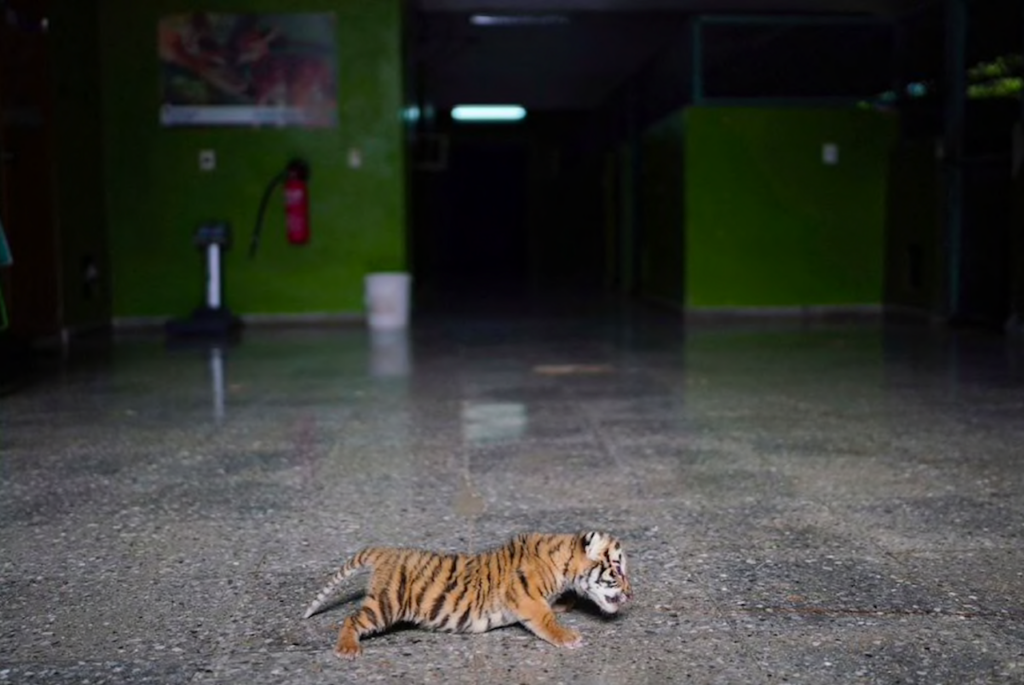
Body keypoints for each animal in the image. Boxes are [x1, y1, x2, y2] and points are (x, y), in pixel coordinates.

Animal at [302, 531, 632, 658]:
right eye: (617, 570)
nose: (631, 595)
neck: (562, 564)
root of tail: (387, 552)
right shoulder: (529, 602)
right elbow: (546, 620)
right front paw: (568, 637)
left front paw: (567, 602)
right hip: (387, 603)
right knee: (352, 618)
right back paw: (347, 647)